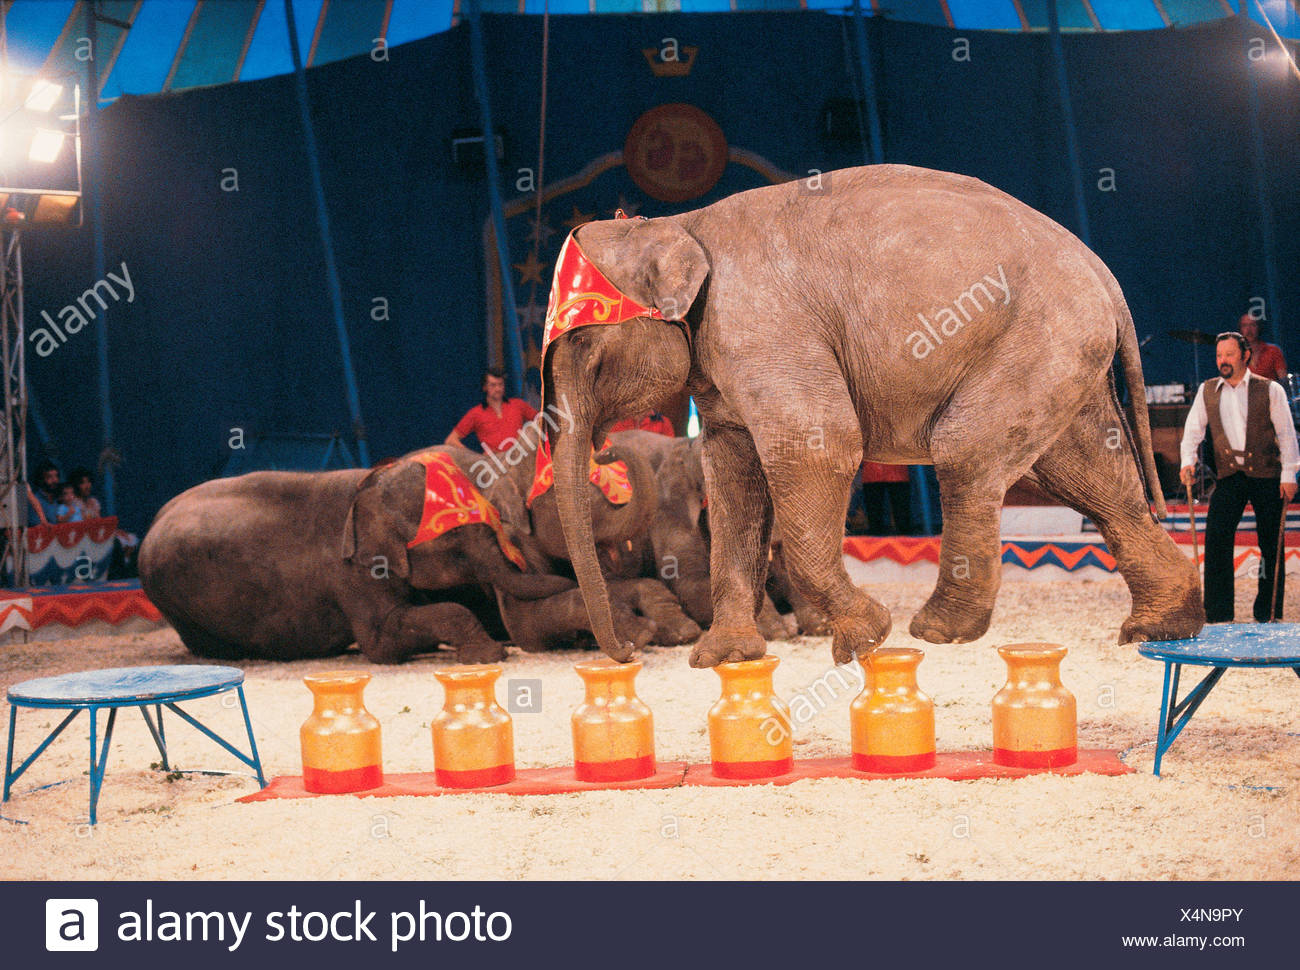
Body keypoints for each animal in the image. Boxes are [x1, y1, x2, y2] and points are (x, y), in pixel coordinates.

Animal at [138, 445, 575, 664]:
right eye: (455, 550)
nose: (570, 574)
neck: (372, 483)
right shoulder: (352, 573)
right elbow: (381, 643)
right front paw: (489, 655)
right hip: (180, 609)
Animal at [541, 164, 1204, 668]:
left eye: (586, 350)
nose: (628, 653)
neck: (679, 224)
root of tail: (1100, 270)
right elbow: (733, 480)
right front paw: (723, 659)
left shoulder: (760, 328)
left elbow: (818, 446)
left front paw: (867, 637)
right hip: (1066, 356)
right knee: (1092, 478)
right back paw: (1160, 628)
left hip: (1038, 343)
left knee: (966, 453)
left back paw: (936, 631)